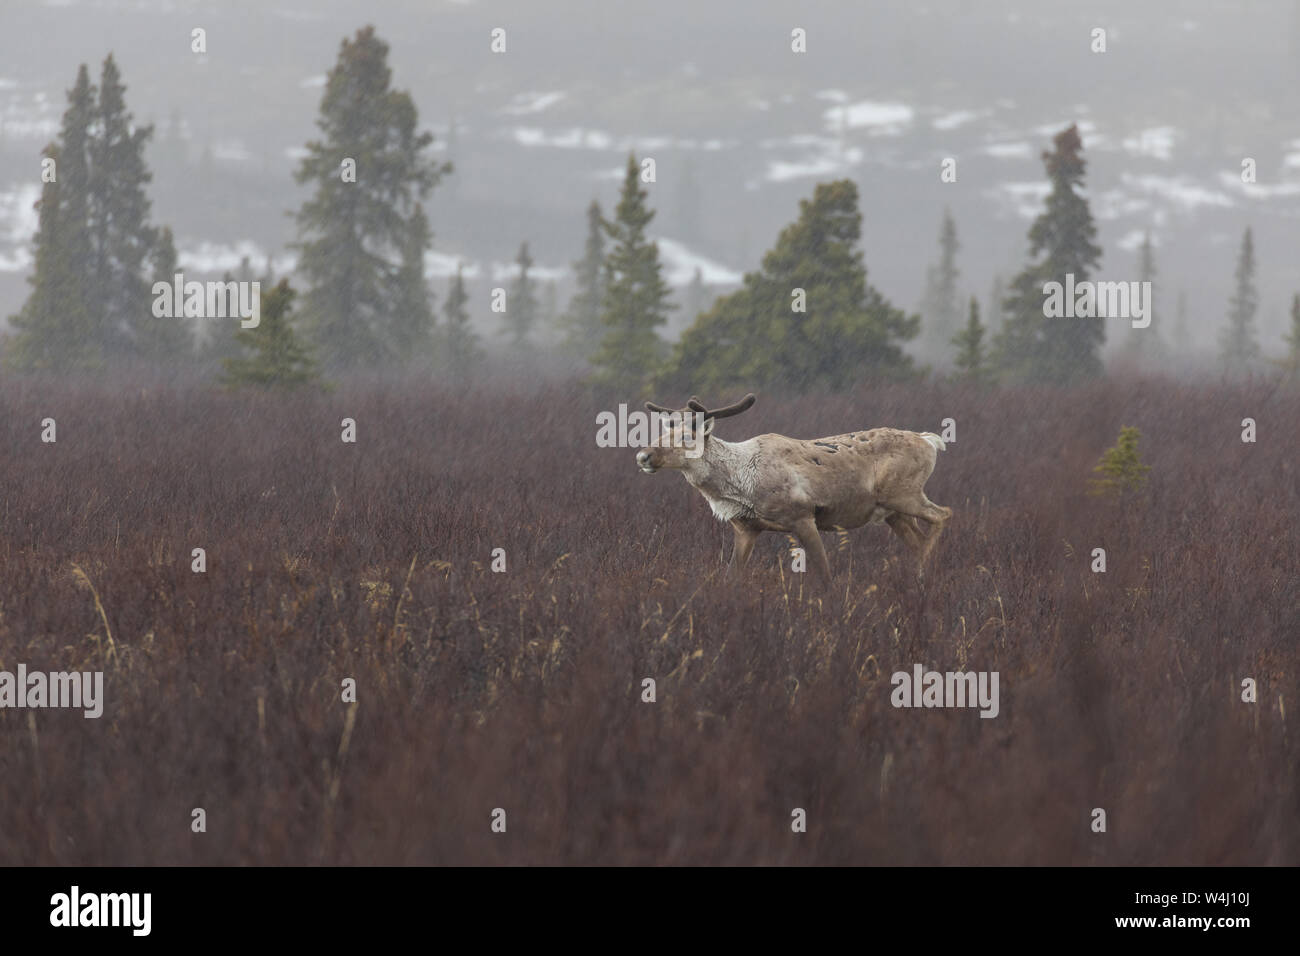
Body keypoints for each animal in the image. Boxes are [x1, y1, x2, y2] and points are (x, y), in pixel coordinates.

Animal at [635, 393, 952, 581]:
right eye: (663, 432)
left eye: (687, 436)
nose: (643, 455)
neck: (741, 486)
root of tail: (930, 440)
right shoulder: (746, 528)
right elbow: (731, 576)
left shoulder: (803, 517)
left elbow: (825, 575)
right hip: (892, 512)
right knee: (919, 536)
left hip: (905, 494)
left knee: (943, 514)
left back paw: (924, 569)